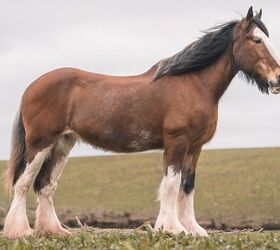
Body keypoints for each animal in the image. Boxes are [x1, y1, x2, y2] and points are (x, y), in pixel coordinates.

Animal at [3, 6, 280, 238]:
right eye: (257, 40)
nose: (278, 78)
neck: (194, 84)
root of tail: (31, 86)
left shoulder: (195, 147)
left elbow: (187, 187)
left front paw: (194, 229)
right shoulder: (177, 142)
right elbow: (171, 184)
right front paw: (173, 228)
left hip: (62, 143)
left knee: (44, 185)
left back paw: (55, 231)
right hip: (40, 143)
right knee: (23, 183)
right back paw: (20, 231)